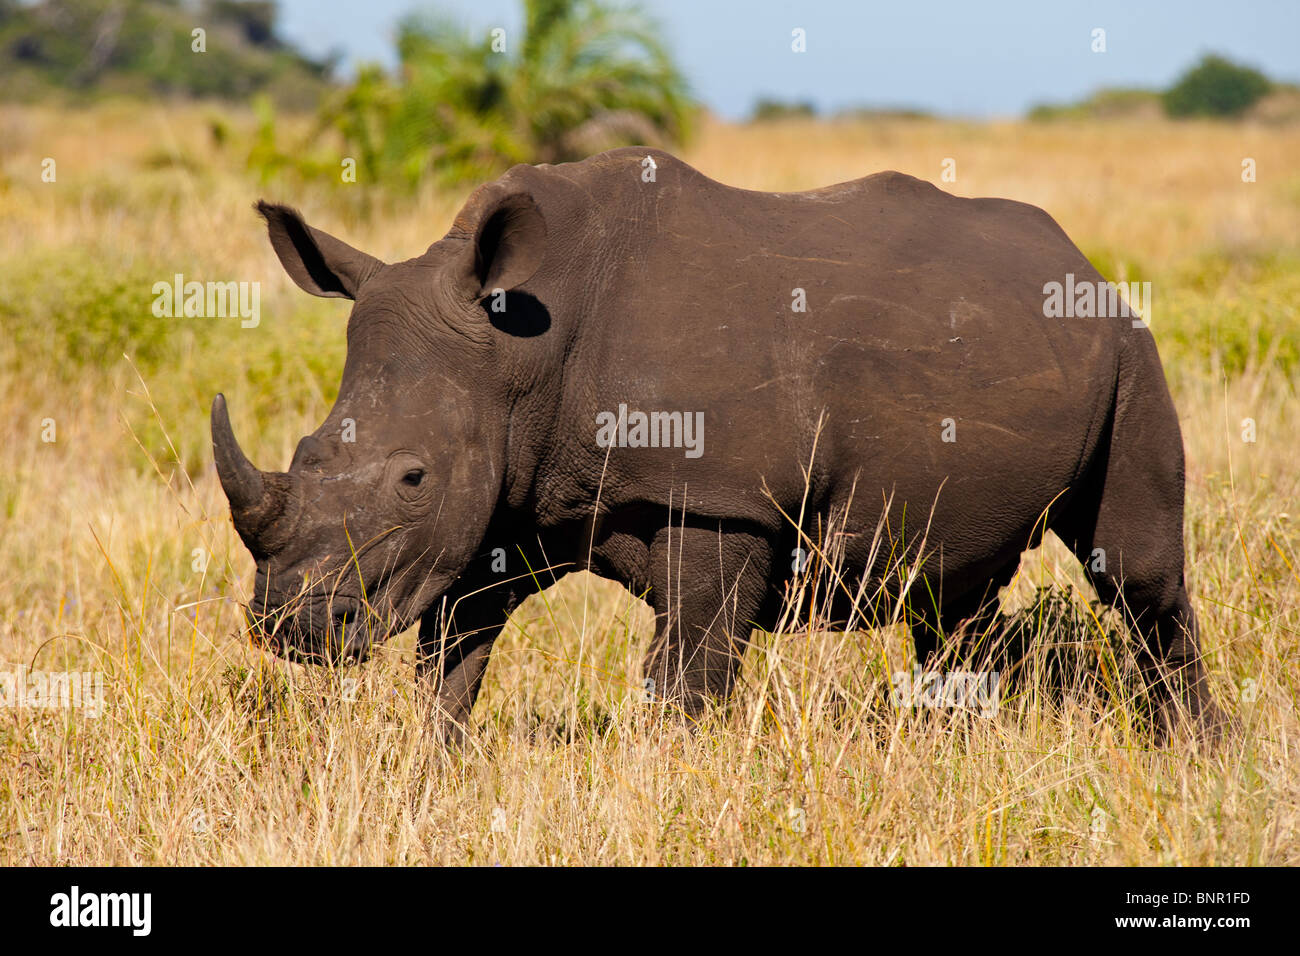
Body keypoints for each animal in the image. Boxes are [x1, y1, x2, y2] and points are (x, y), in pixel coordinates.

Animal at [212, 147, 1224, 740]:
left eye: (412, 478)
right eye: (304, 453)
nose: (292, 626)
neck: (522, 354)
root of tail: (1081, 263)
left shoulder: (717, 495)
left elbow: (687, 671)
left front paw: (668, 781)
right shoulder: (507, 494)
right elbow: (452, 657)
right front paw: (434, 770)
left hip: (1131, 347)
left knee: (1134, 570)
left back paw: (1194, 749)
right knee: (950, 593)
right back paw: (951, 745)